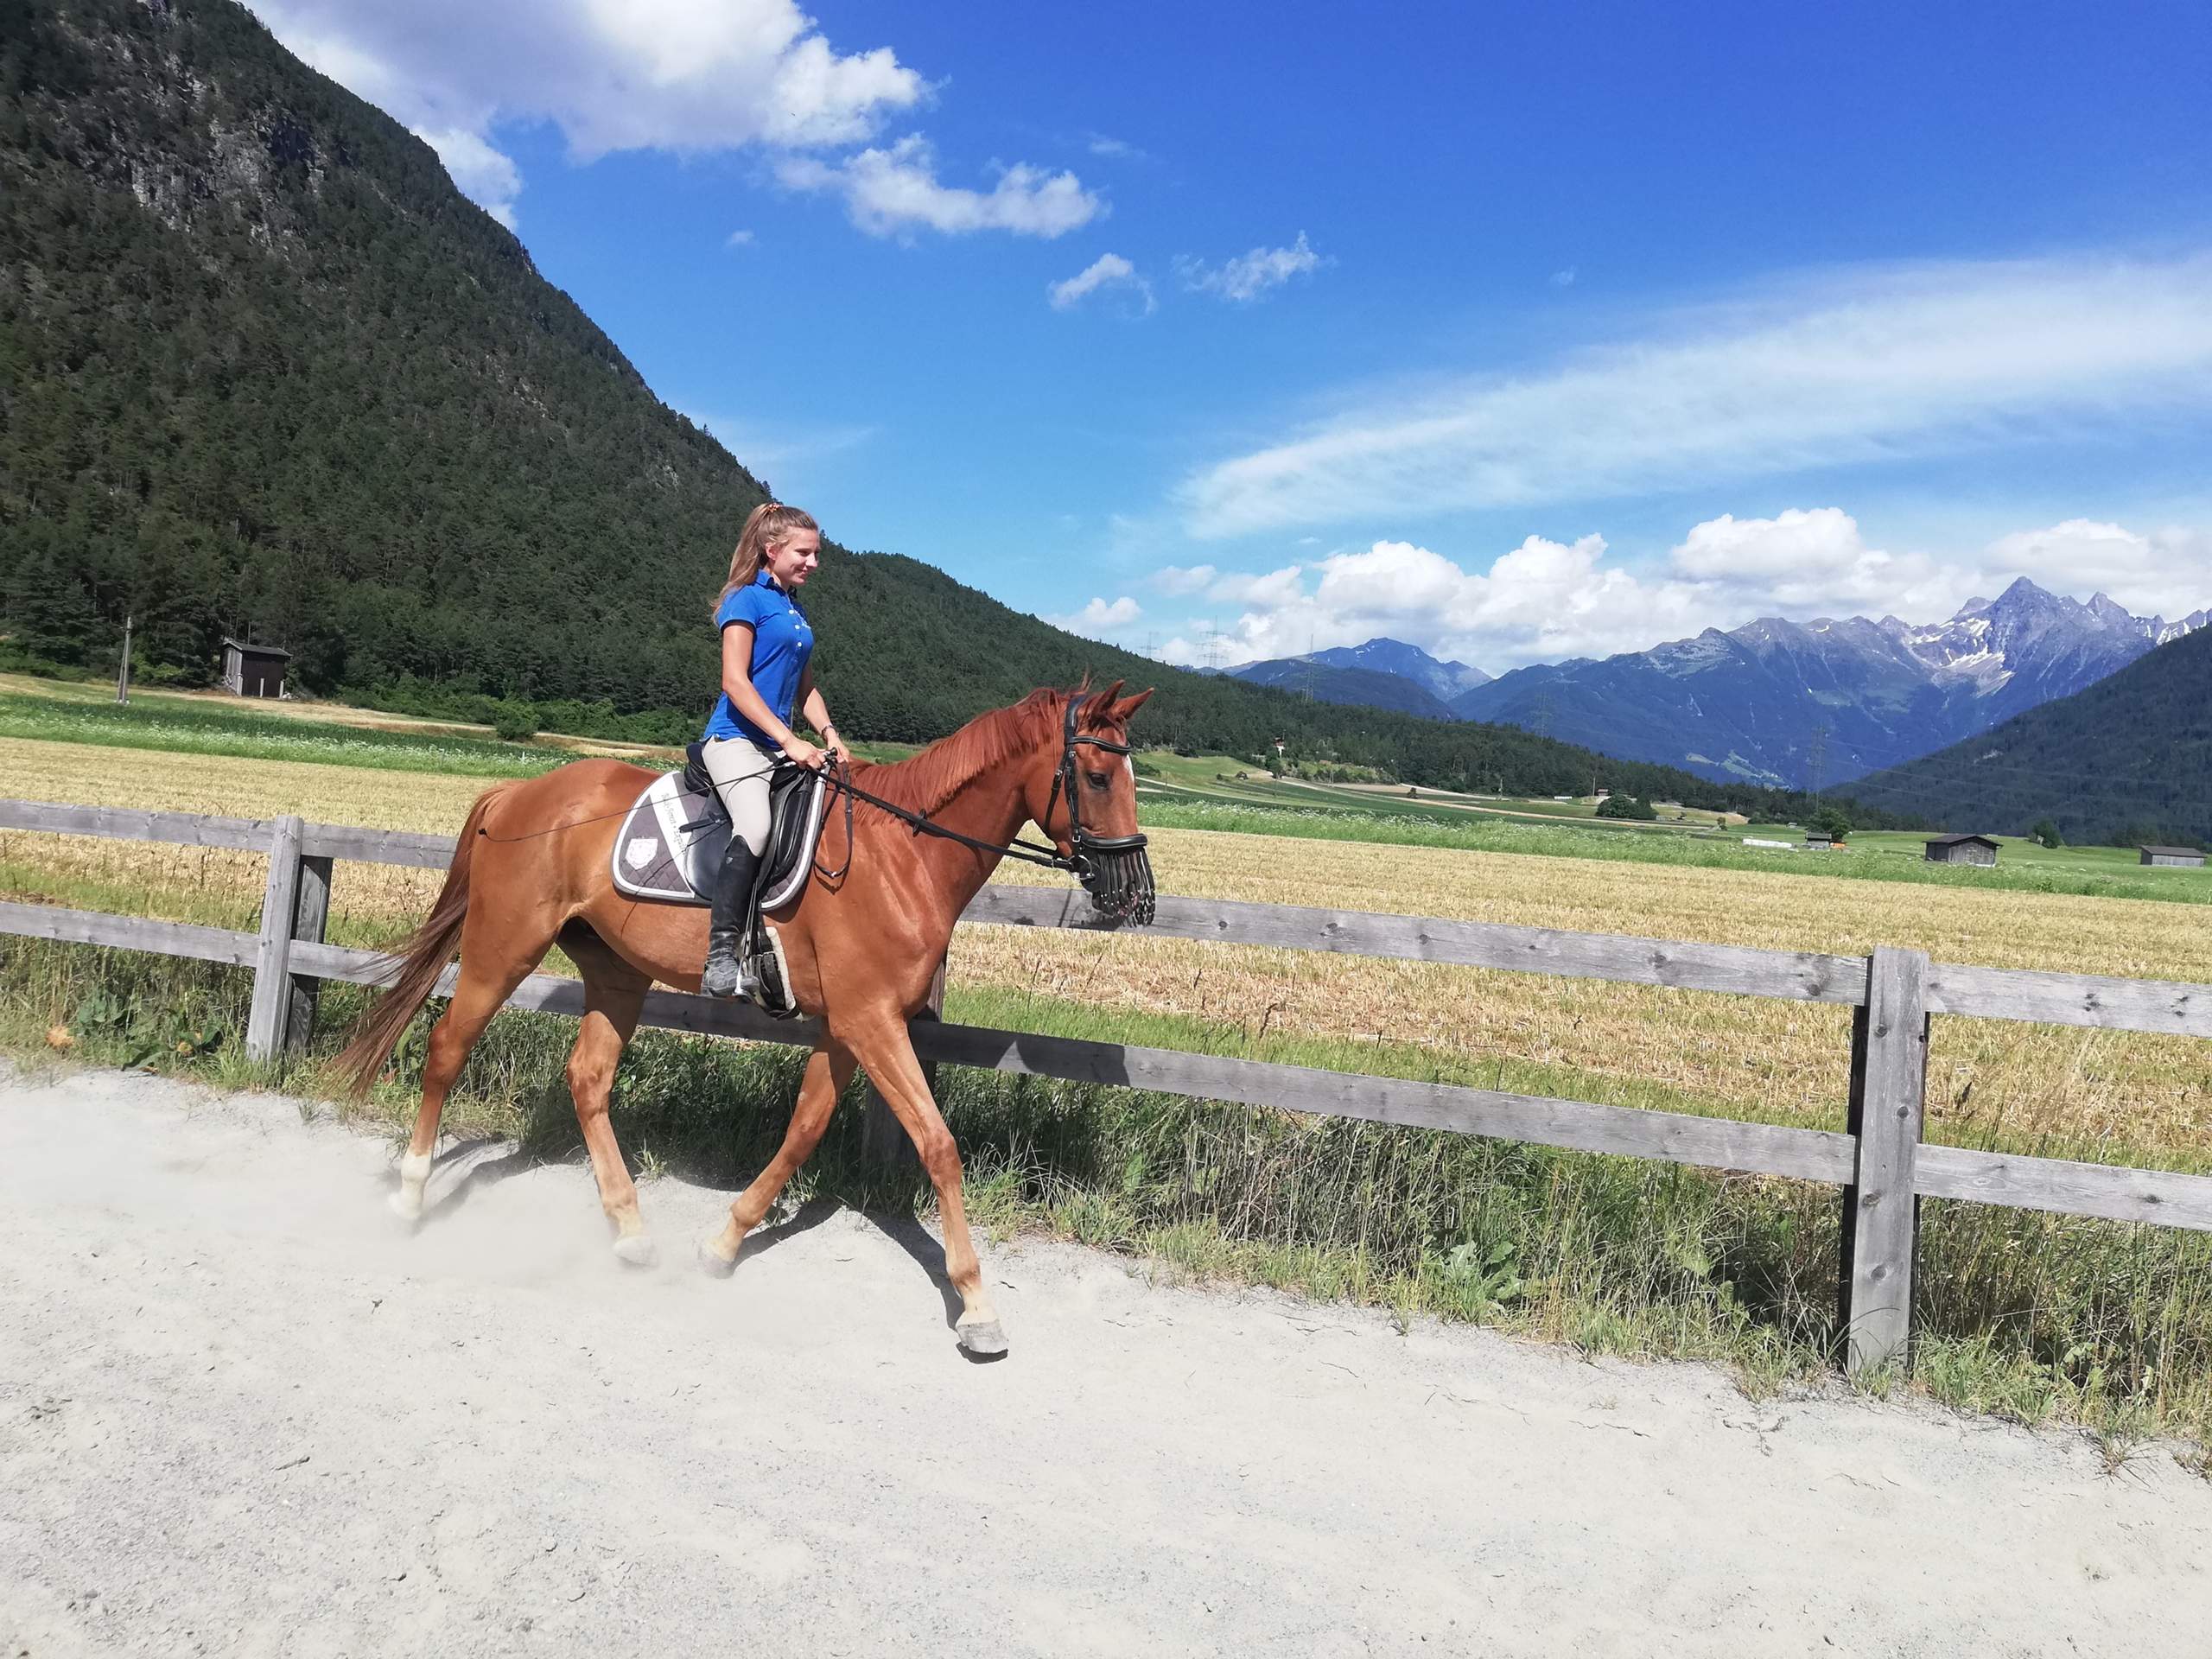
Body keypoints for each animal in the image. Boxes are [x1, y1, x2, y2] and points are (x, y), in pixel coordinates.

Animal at [337, 682, 1156, 1355]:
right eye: (1096, 776)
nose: (1133, 894)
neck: (902, 853)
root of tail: (518, 793)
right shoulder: (870, 1021)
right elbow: (937, 1144)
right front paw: (978, 1308)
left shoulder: (848, 1025)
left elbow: (804, 1128)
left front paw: (723, 1244)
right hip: (501, 949)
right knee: (448, 1046)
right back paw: (411, 1197)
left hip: (615, 971)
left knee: (588, 1077)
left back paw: (631, 1232)